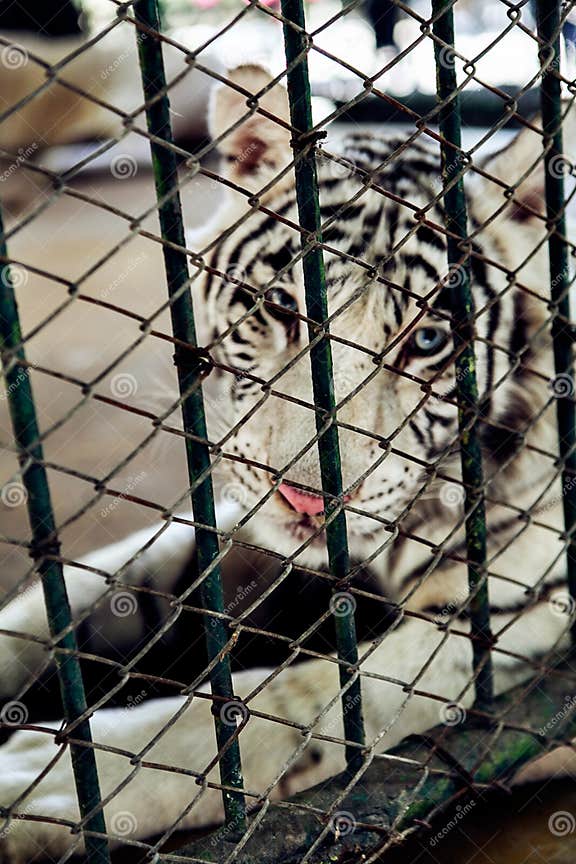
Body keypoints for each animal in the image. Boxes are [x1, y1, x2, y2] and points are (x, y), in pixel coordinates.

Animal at [0, 64, 573, 861]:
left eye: (427, 342)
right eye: (277, 305)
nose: (304, 500)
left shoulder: (525, 609)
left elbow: (306, 701)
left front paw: (38, 783)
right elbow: (73, 600)